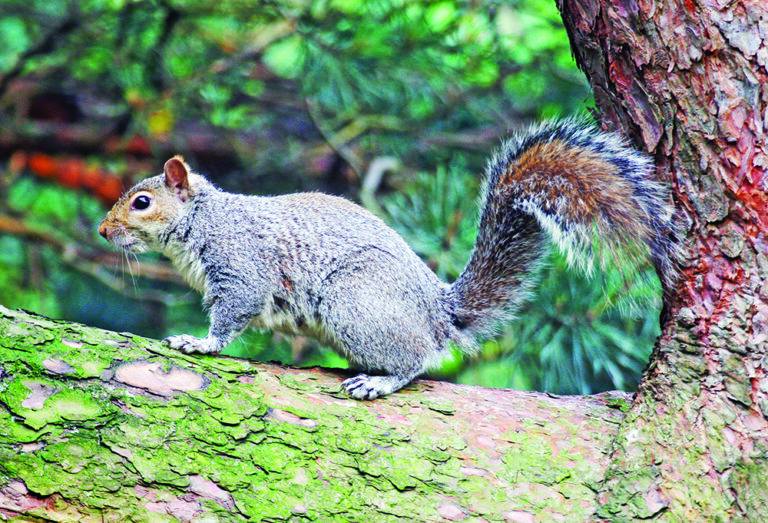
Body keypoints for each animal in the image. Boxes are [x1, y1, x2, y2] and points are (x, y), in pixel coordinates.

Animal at [98, 119, 677, 400]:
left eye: (142, 202)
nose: (103, 230)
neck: (204, 222)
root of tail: (438, 310)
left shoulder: (242, 268)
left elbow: (230, 317)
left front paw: (198, 342)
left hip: (354, 302)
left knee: (418, 359)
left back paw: (379, 380)